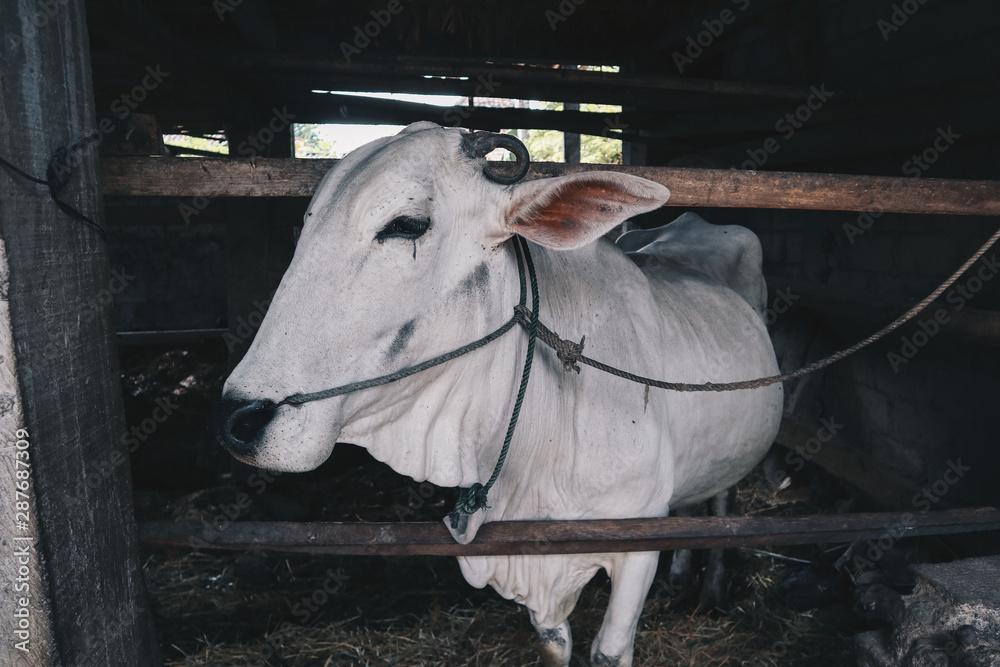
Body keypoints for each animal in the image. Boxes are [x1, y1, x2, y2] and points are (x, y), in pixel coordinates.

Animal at [215, 121, 783, 667]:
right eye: (306, 224)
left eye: (405, 225)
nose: (241, 420)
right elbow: (554, 645)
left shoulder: (637, 543)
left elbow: (608, 650)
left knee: (722, 502)